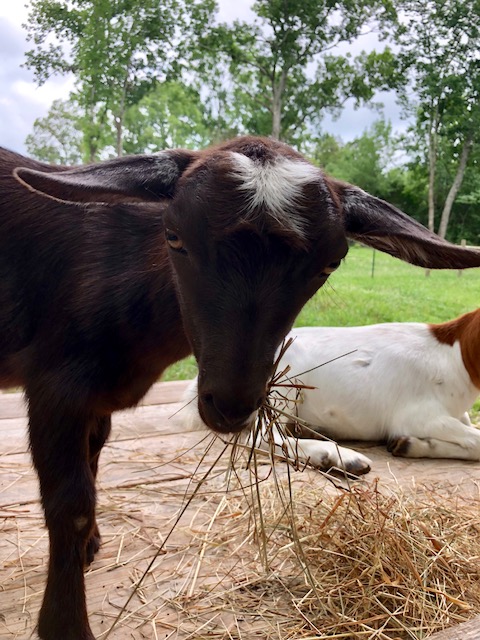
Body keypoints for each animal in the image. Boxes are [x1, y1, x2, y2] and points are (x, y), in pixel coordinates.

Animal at [185, 309, 480, 475]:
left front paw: (410, 445)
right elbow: (476, 441)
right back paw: (339, 457)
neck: (453, 360)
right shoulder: (417, 415)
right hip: (284, 386)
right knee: (262, 437)